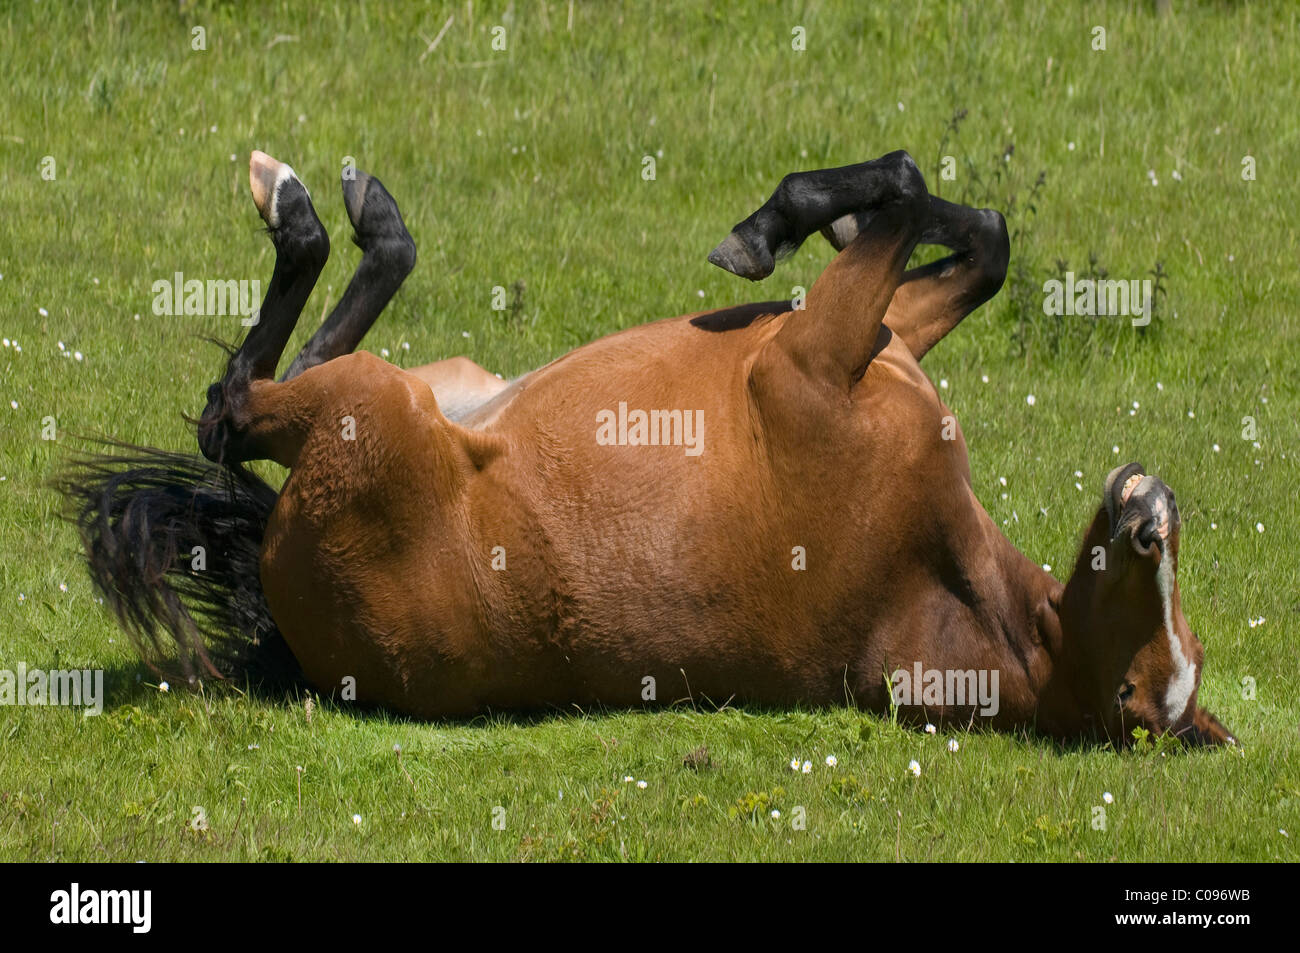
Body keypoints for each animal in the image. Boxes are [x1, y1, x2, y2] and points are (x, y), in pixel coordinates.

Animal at [60, 148, 1235, 747]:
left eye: (1139, 694)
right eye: (1167, 640)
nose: (1151, 515)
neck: (936, 576)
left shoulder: (813, 354)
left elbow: (903, 186)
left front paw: (770, 225)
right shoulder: (873, 334)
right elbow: (980, 236)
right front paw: (814, 224)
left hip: (368, 412)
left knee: (232, 406)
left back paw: (306, 207)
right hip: (436, 384)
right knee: (275, 374)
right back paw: (362, 212)